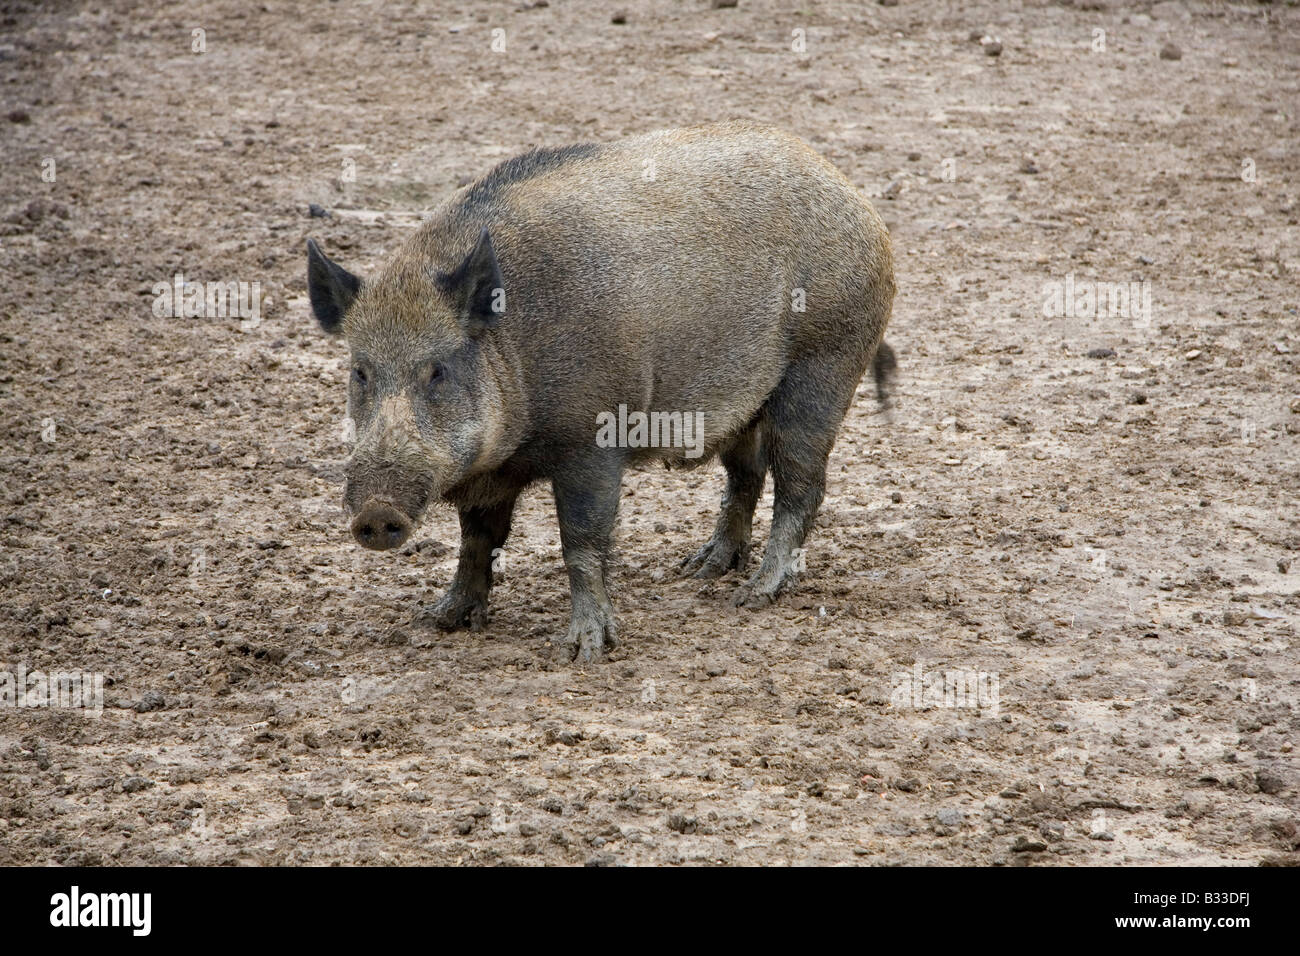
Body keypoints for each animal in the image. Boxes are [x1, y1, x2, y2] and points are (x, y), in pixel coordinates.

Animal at [305, 122, 895, 662]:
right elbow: (478, 539)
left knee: (801, 484)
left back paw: (754, 596)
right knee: (744, 476)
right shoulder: (485, 476)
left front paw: (586, 650)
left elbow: (581, 540)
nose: (375, 512)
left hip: (826, 365)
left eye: (438, 370)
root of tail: (850, 192)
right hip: (746, 401)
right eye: (360, 371)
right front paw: (441, 621)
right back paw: (700, 570)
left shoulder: (591, 441)